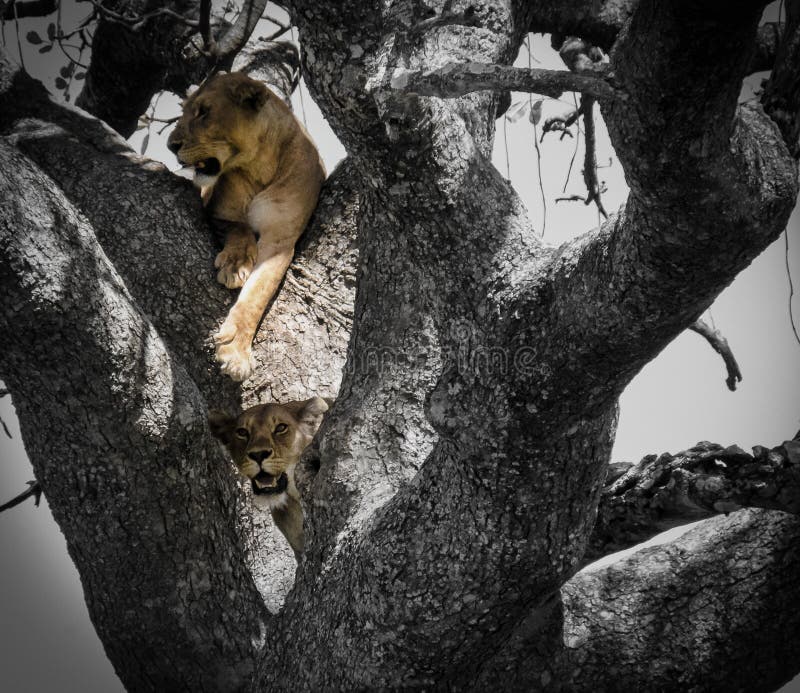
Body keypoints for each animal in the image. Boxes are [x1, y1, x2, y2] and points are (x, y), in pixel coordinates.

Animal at [167, 71, 326, 381]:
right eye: (184, 111)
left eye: (203, 111)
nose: (170, 145)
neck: (259, 166)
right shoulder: (218, 212)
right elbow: (239, 229)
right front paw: (235, 265)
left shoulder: (280, 241)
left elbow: (257, 295)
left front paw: (235, 353)